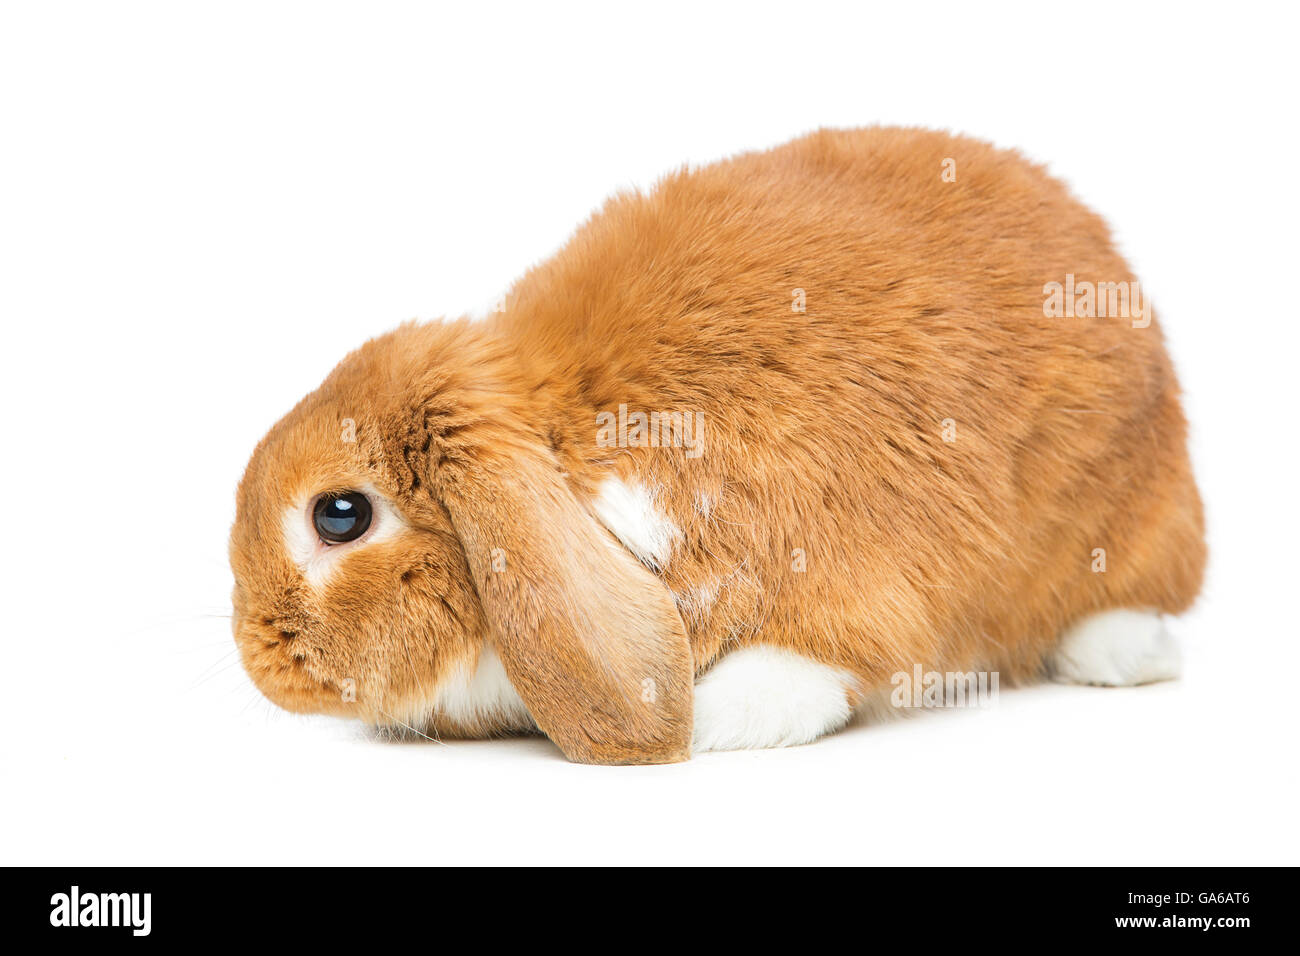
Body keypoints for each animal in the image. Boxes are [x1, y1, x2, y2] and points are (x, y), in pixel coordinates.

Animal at [229, 127, 1206, 764]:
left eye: (341, 514)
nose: (257, 660)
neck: (571, 452)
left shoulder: (847, 576)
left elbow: (825, 660)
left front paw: (711, 720)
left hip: (1129, 521)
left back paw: (1119, 655)